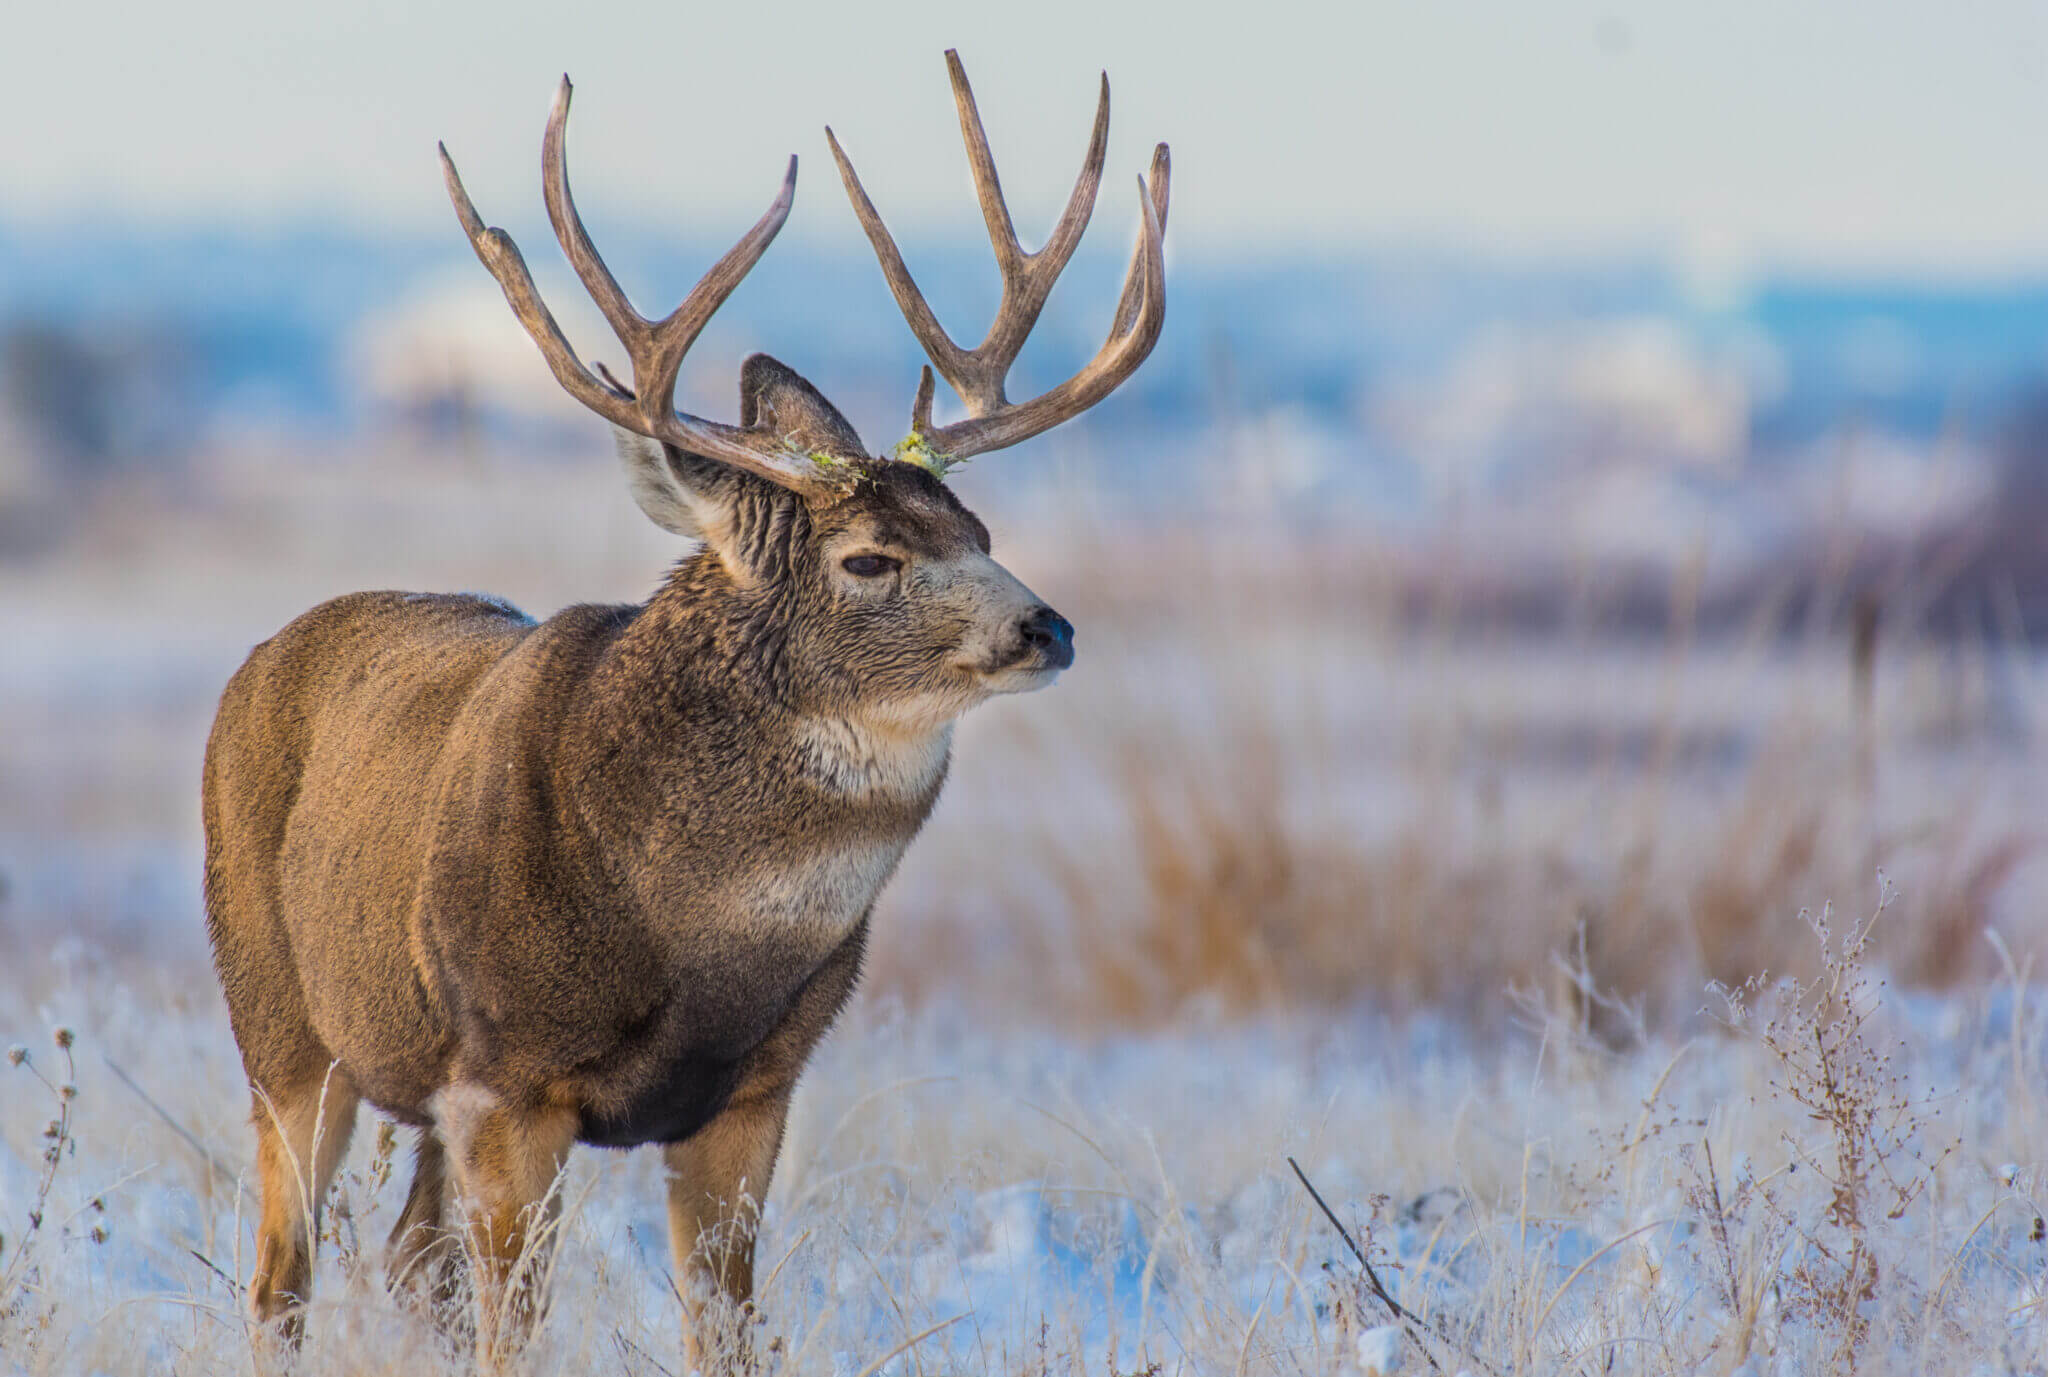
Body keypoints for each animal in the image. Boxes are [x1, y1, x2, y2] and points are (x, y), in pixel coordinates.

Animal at [202, 50, 1168, 1369]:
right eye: (869, 558)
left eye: (977, 529)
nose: (1045, 629)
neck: (686, 926)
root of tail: (263, 655)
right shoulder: (507, 1077)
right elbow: (514, 1328)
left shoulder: (754, 1090)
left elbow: (726, 1329)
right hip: (281, 1026)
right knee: (281, 1278)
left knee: (406, 1263)